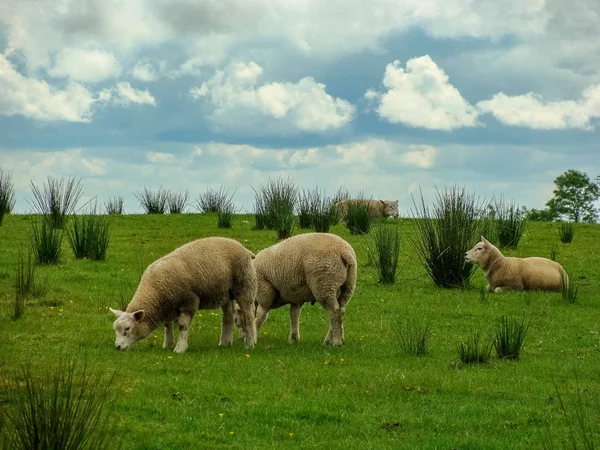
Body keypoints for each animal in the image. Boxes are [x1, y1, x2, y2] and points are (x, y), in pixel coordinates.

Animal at [110, 237, 258, 354]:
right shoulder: (168, 306)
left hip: (245, 286)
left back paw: (250, 344)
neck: (154, 292)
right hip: (226, 293)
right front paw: (168, 344)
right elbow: (168, 325)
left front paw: (180, 348)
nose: (118, 347)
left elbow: (182, 326)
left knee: (249, 316)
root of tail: (245, 249)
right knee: (228, 316)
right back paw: (225, 343)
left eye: (127, 329)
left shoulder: (189, 302)